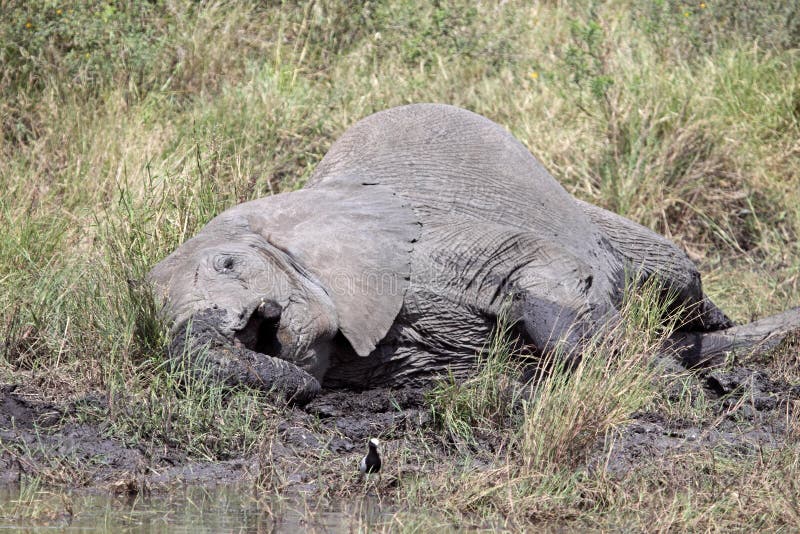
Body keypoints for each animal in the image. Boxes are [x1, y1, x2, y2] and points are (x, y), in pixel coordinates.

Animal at [148, 103, 800, 403]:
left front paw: (662, 378)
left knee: (673, 270)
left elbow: (543, 267)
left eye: (228, 263)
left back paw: (706, 328)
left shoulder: (427, 239)